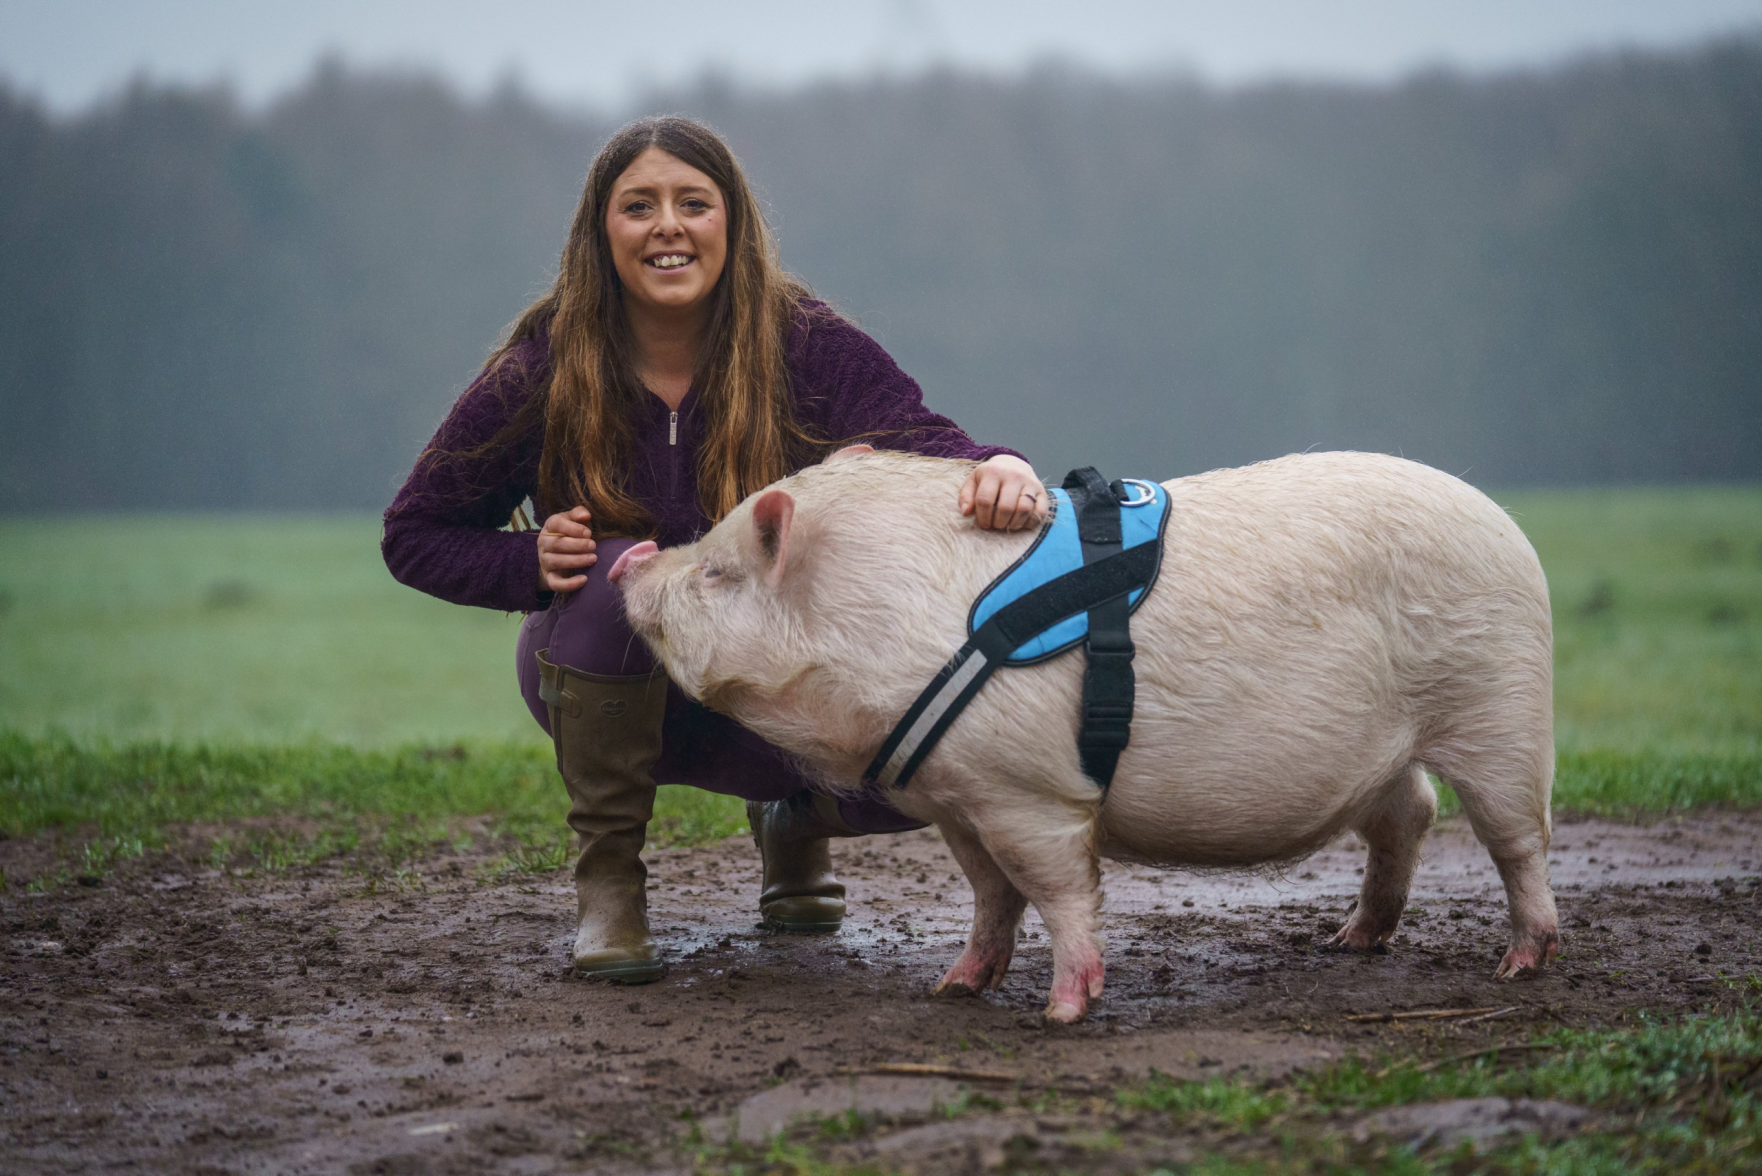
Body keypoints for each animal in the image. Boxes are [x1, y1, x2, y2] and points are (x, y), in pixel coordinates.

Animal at [609, 448, 1559, 1022]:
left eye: (717, 572)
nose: (631, 557)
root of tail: (1504, 521)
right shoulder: (959, 798)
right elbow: (990, 895)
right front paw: (954, 989)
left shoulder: (1030, 792)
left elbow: (1058, 889)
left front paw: (1062, 1011)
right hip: (1387, 750)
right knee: (1409, 813)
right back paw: (1350, 940)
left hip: (1503, 706)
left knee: (1516, 838)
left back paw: (1520, 966)